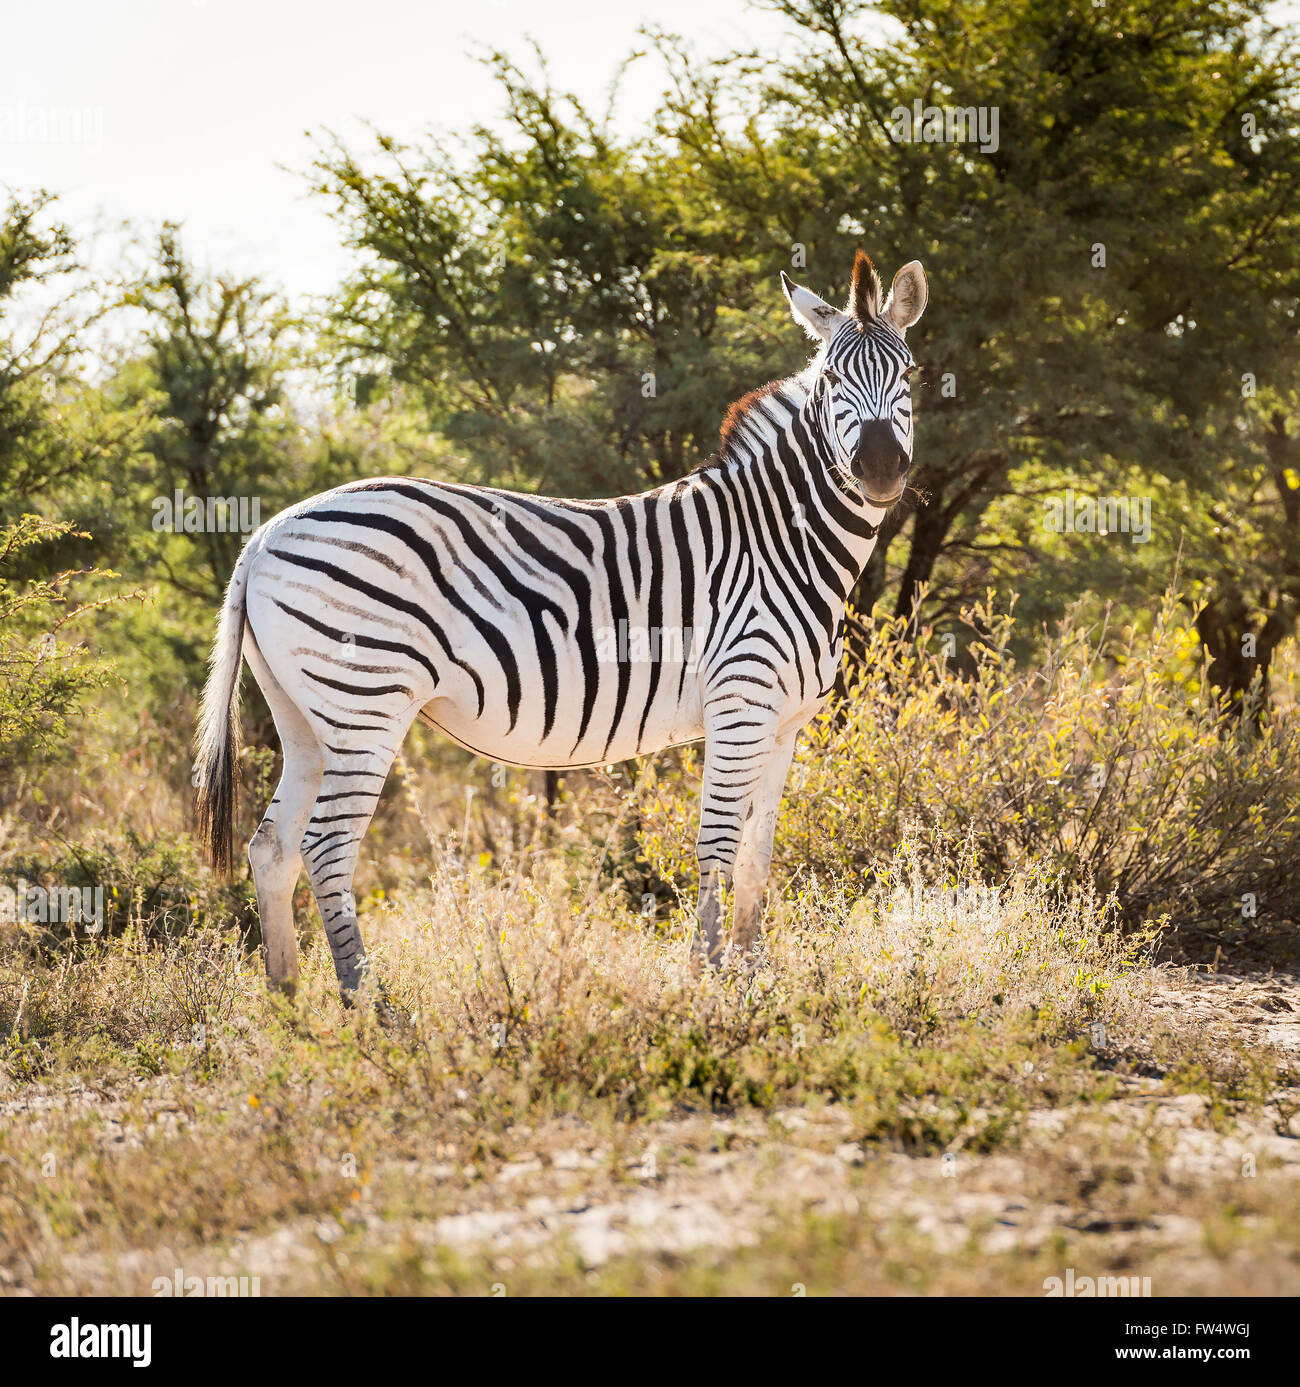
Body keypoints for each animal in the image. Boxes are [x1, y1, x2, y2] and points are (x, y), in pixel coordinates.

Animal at [195, 250, 928, 999]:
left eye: (911, 374)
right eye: (834, 380)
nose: (878, 470)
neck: (781, 541)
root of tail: (264, 536)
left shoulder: (784, 723)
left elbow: (756, 855)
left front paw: (754, 982)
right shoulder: (741, 701)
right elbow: (717, 845)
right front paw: (707, 982)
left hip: (305, 718)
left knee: (273, 846)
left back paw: (288, 1001)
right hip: (365, 701)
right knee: (327, 848)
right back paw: (369, 1004)